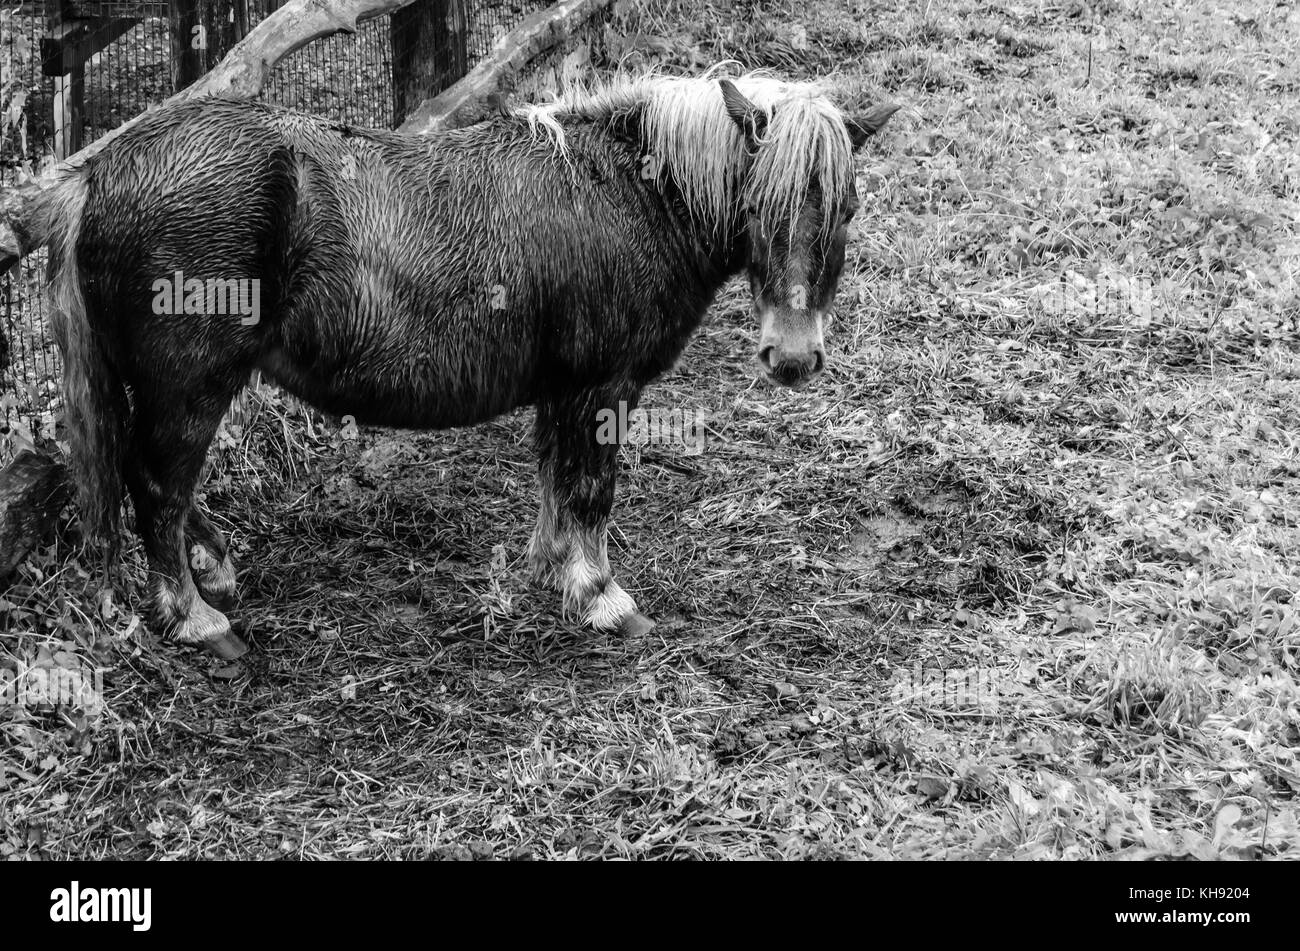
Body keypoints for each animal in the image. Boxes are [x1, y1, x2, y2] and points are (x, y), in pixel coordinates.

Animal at [37, 70, 897, 659]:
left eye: (848, 208)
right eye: (760, 204)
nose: (794, 357)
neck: (626, 193)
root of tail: (98, 174)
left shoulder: (565, 389)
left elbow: (558, 479)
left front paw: (555, 569)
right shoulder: (602, 386)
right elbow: (591, 489)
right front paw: (602, 596)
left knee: (162, 480)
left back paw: (211, 569)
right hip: (188, 383)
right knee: (158, 482)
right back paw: (194, 617)